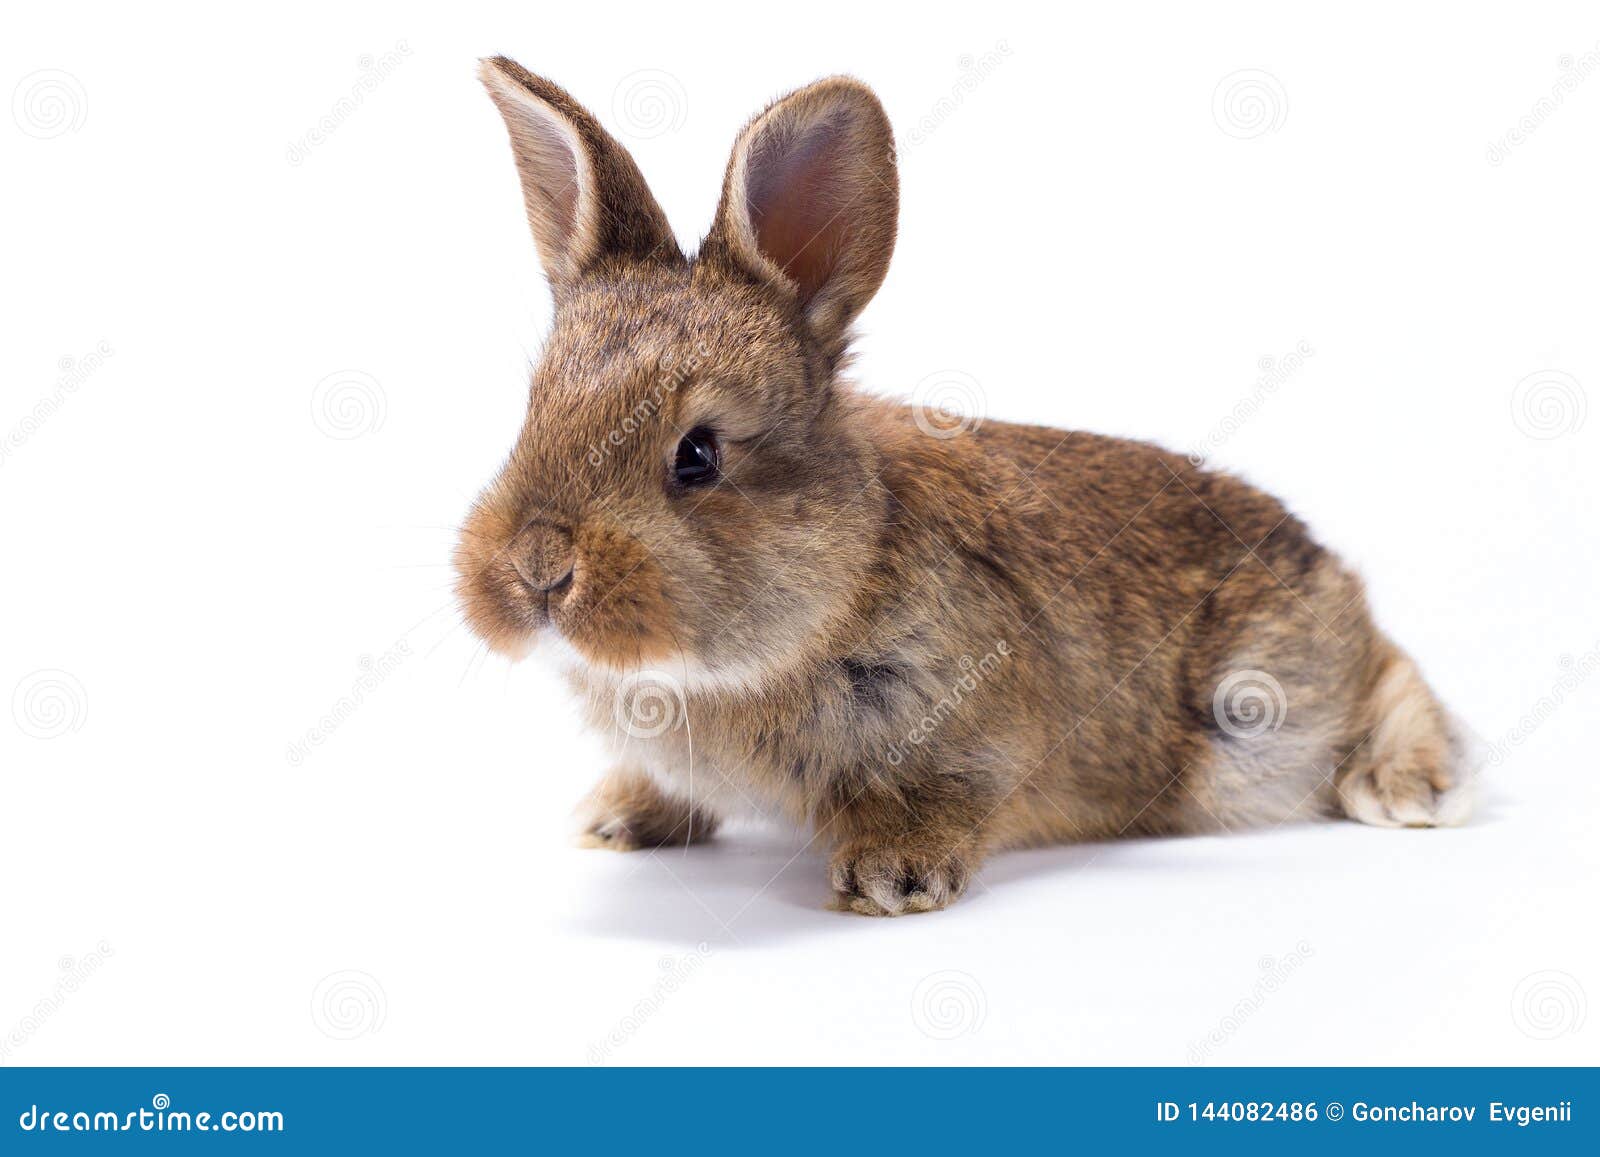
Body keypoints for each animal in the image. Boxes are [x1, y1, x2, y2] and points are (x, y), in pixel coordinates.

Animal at [455, 57, 1475, 916]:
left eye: (697, 454)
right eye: (532, 414)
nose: (537, 570)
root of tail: (1320, 565)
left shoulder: (972, 727)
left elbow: (944, 794)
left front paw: (891, 878)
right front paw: (614, 818)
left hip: (1257, 715)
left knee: (1387, 677)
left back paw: (1411, 788)